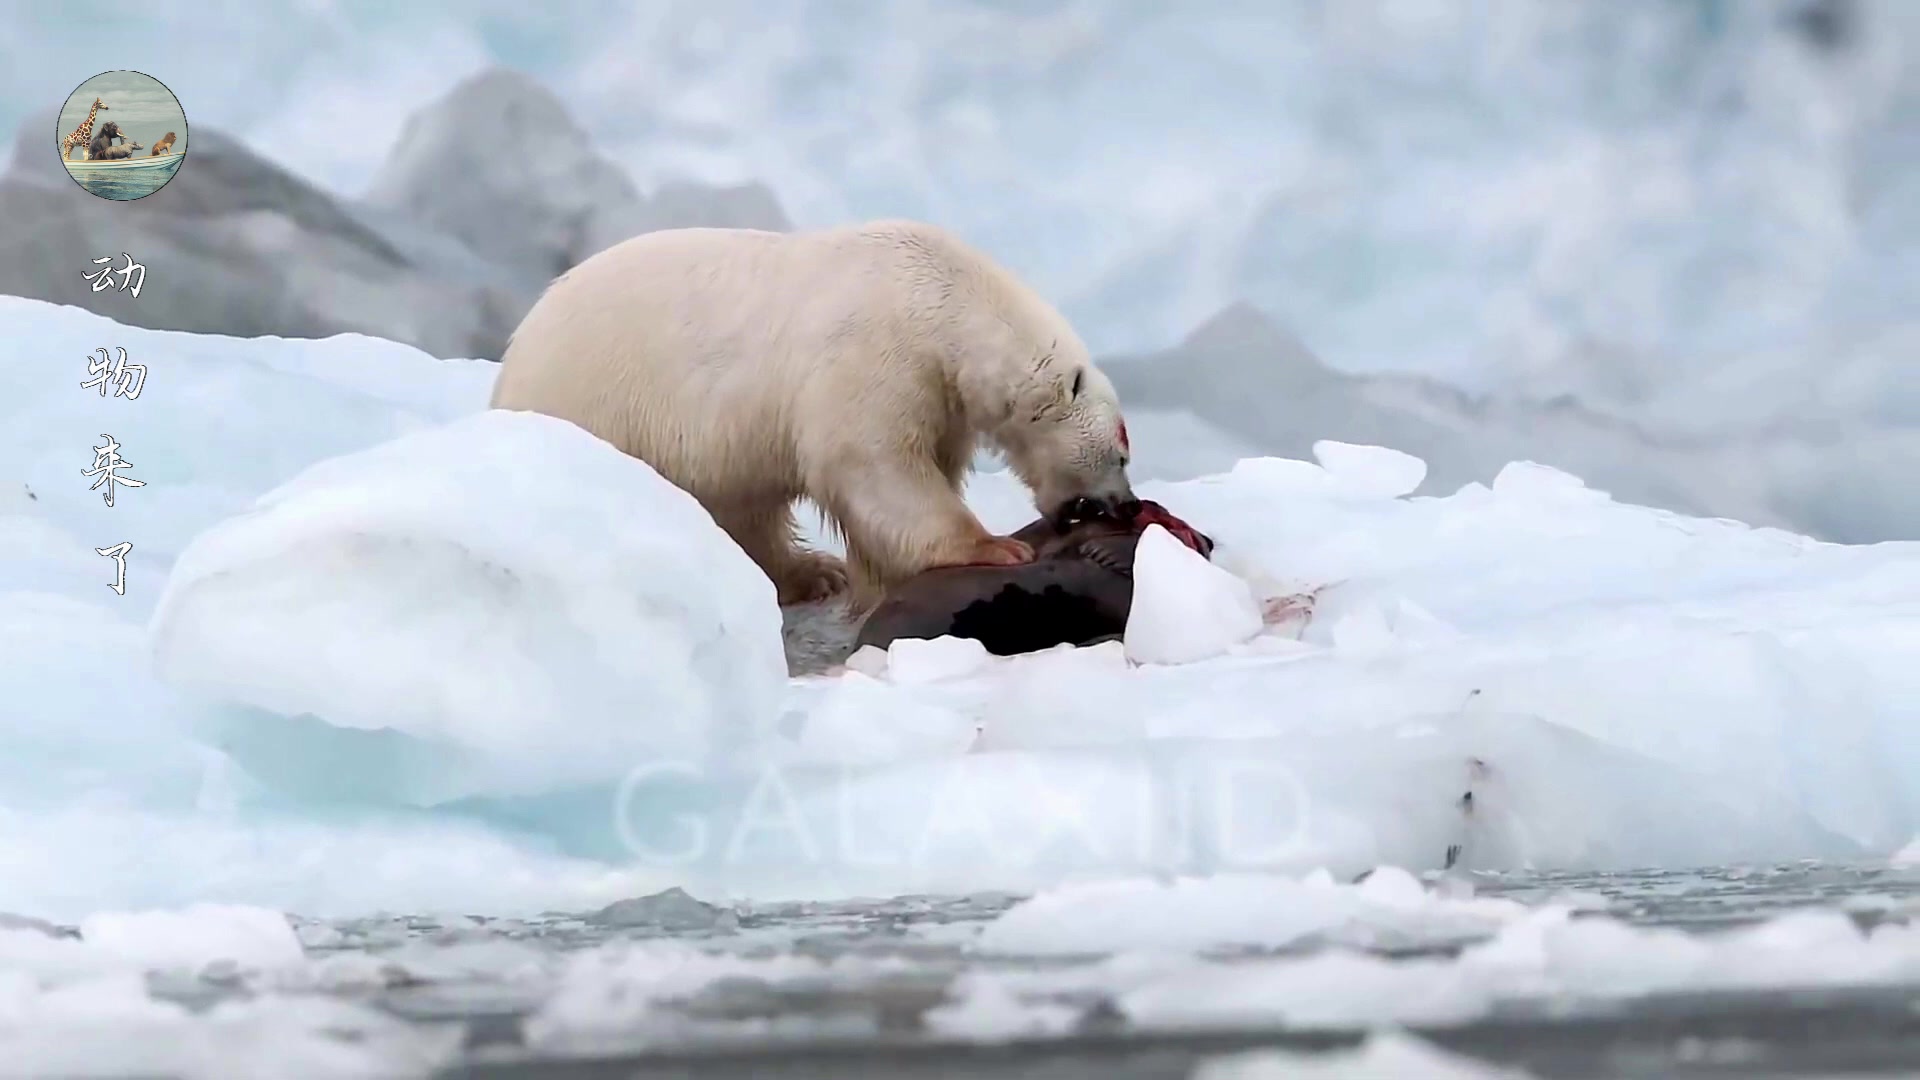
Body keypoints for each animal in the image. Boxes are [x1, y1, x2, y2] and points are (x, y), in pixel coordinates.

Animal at [488, 218, 1137, 612]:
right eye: (1124, 447)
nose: (1127, 505)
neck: (941, 299)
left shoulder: (940, 399)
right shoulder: (876, 357)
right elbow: (876, 466)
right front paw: (996, 547)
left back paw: (811, 573)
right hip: (598, 404)